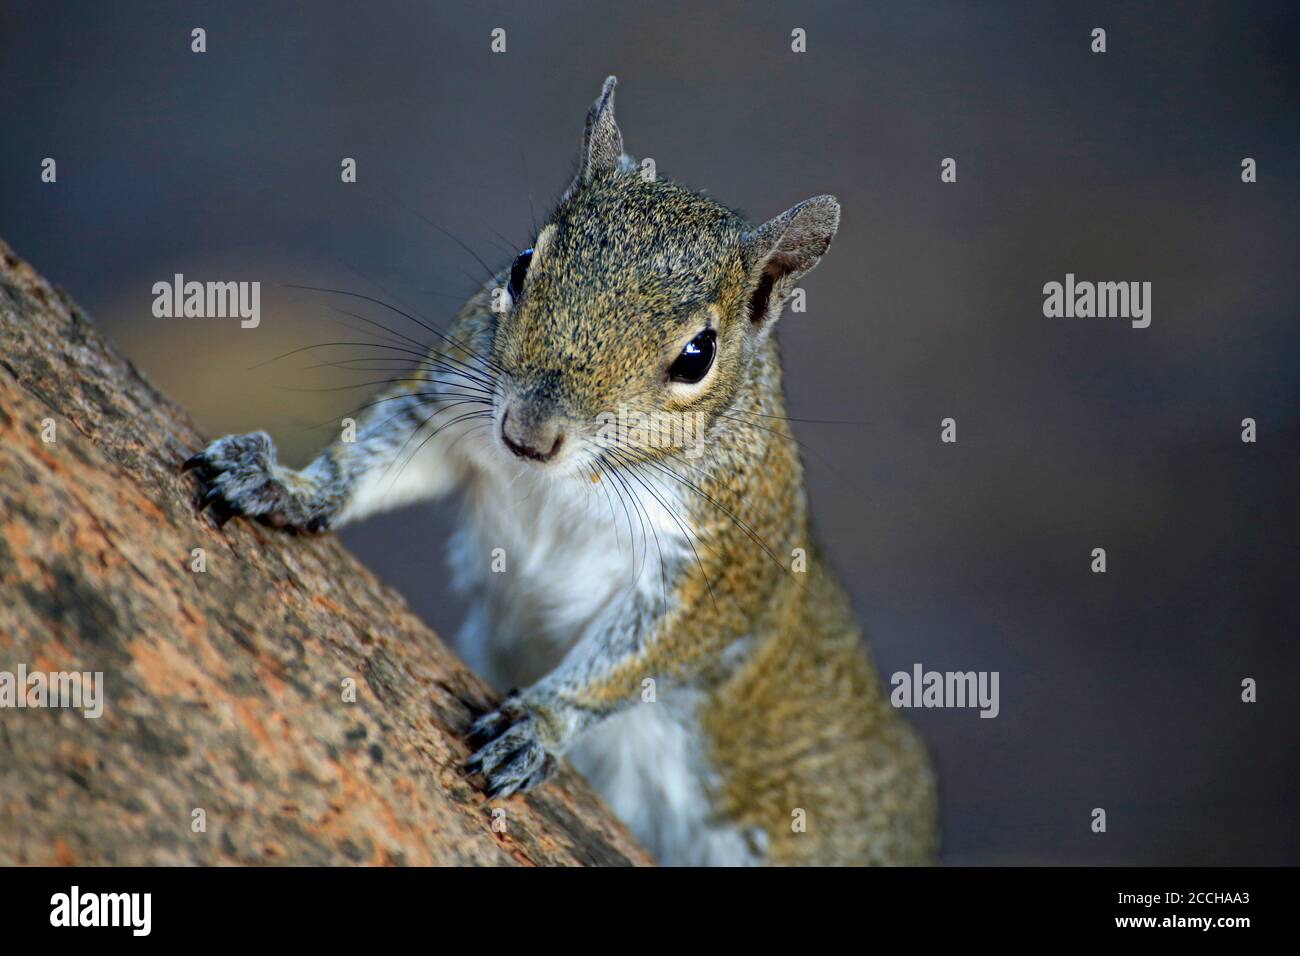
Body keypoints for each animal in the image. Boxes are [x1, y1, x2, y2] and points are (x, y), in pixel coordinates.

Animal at [182, 77, 938, 866]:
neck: (569, 479)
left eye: (698, 355)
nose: (527, 434)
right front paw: (288, 486)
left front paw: (541, 721)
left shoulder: (720, 563)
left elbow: (637, 656)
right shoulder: (450, 402)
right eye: (521, 265)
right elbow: (373, 459)